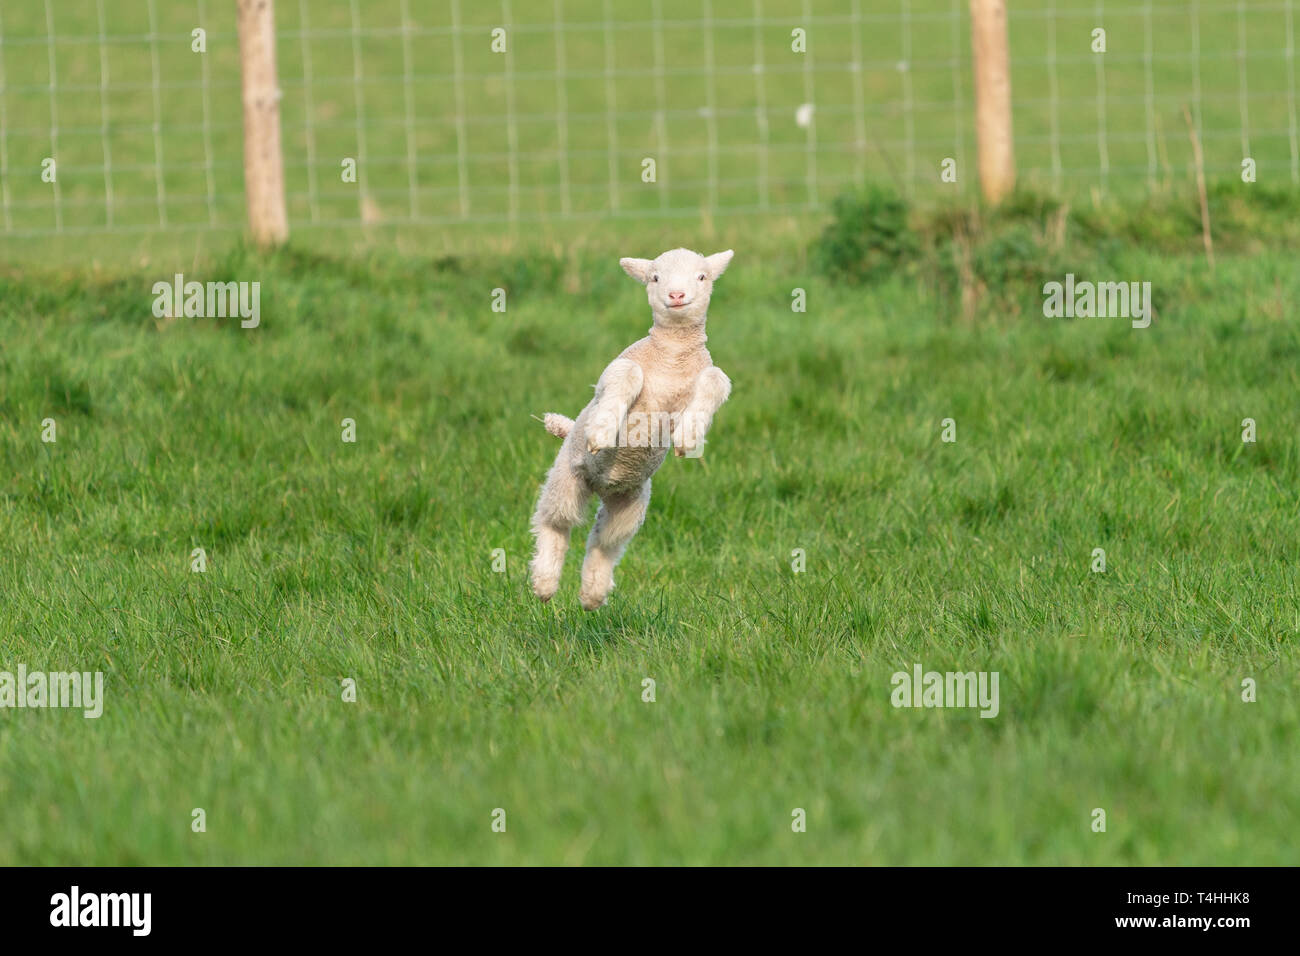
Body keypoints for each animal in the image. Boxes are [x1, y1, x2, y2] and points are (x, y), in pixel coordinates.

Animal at [529, 247, 735, 610]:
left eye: (702, 276)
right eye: (655, 277)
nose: (676, 295)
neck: (672, 358)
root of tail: (601, 486)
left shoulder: (705, 375)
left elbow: (716, 379)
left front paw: (688, 435)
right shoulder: (618, 368)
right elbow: (628, 373)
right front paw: (601, 431)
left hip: (631, 503)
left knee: (604, 542)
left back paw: (592, 595)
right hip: (567, 477)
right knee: (554, 523)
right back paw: (544, 583)